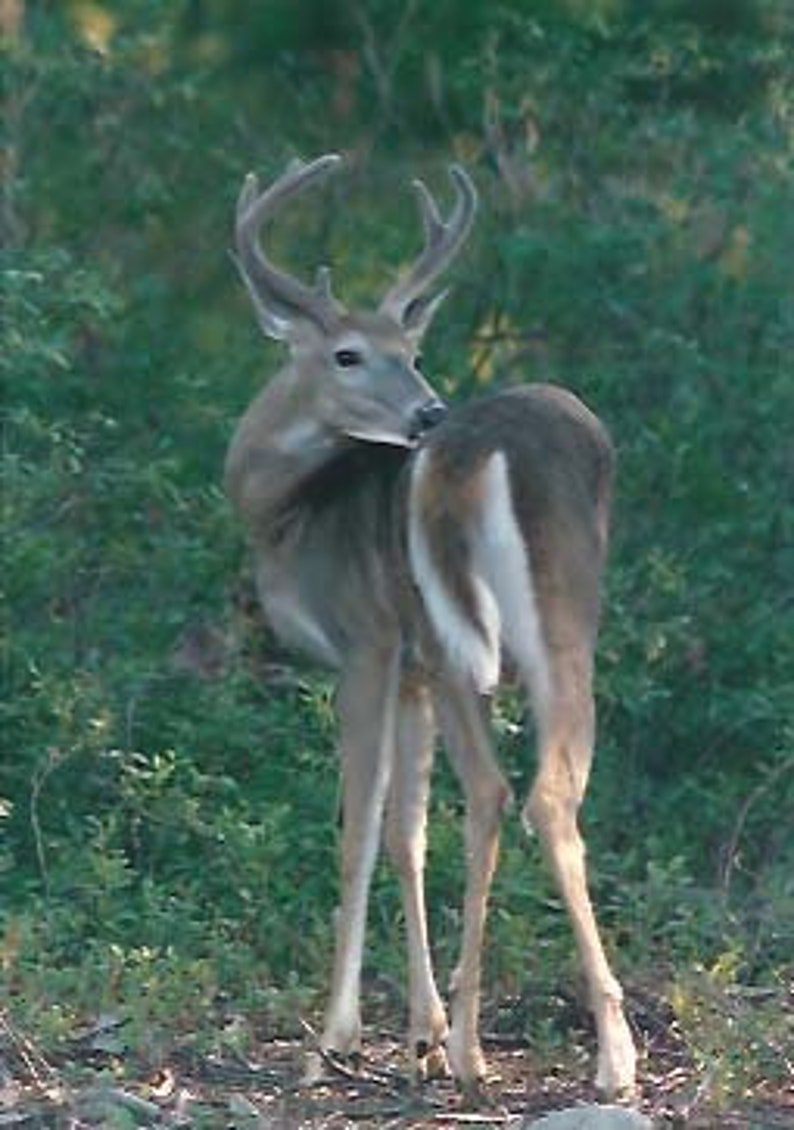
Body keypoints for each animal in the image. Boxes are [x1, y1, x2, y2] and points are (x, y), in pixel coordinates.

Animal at [224, 153, 638, 1101]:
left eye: (409, 351)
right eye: (349, 351)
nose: (427, 411)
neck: (287, 514)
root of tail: (473, 454)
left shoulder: (369, 643)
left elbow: (360, 826)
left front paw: (334, 1037)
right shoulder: (411, 670)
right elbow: (408, 833)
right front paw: (421, 1026)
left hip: (508, 634)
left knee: (509, 793)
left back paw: (560, 1055)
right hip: (510, 642)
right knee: (527, 791)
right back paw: (511, 1046)